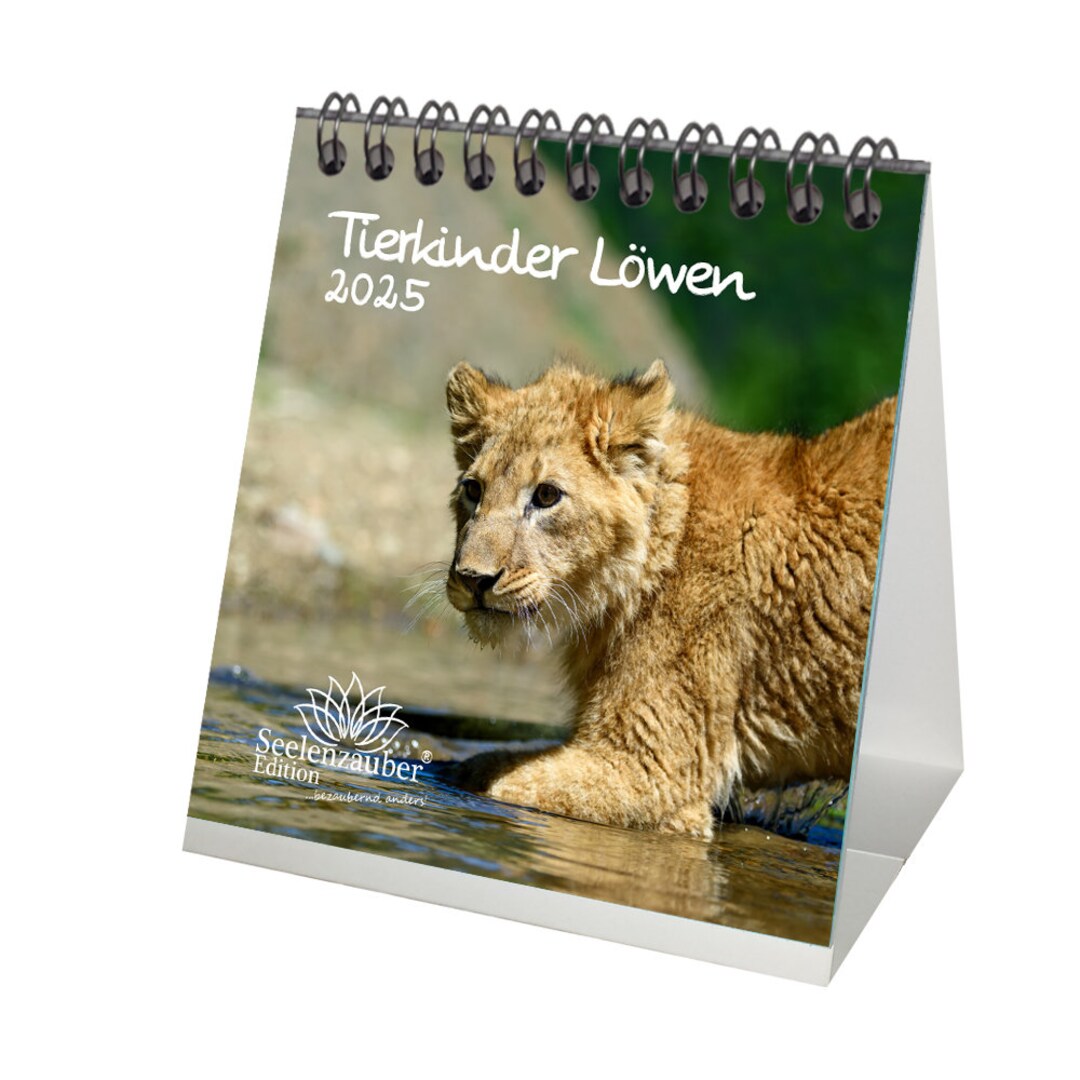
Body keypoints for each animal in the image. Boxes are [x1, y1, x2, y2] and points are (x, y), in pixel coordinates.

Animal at [443, 359, 895, 840]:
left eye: (546, 495)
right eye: (473, 490)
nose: (473, 579)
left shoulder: (653, 772)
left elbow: (497, 783)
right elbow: (478, 766)